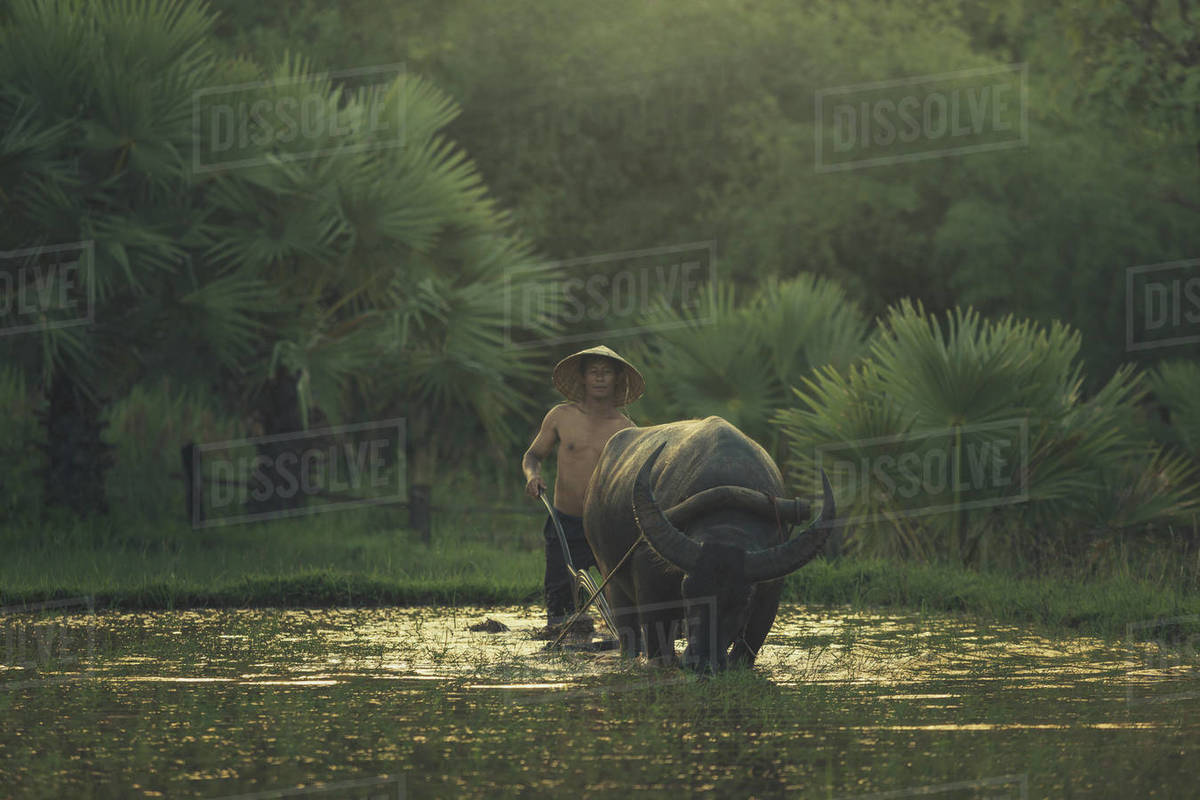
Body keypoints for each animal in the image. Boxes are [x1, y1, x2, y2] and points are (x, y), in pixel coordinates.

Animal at [583, 416, 835, 672]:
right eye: (687, 590)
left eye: (743, 600)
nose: (701, 660)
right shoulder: (649, 578)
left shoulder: (769, 596)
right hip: (611, 579)